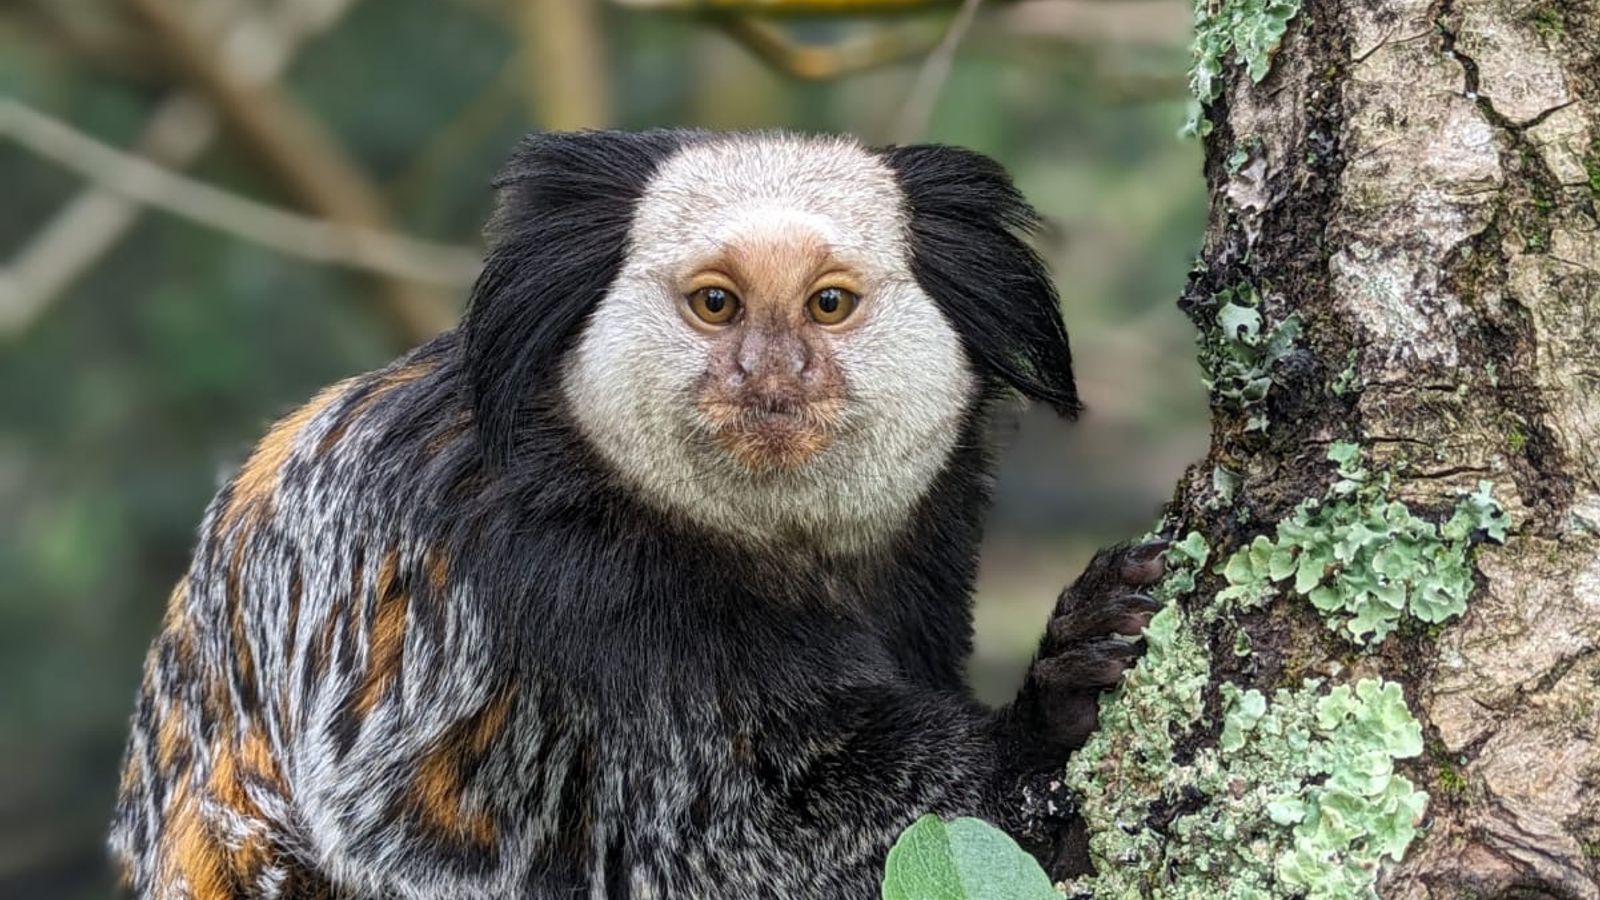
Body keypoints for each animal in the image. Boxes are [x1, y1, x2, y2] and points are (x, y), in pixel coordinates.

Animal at [108, 130, 1167, 899]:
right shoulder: (532, 599)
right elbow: (727, 836)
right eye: (717, 304)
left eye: (827, 305)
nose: (771, 377)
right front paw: (1041, 724)